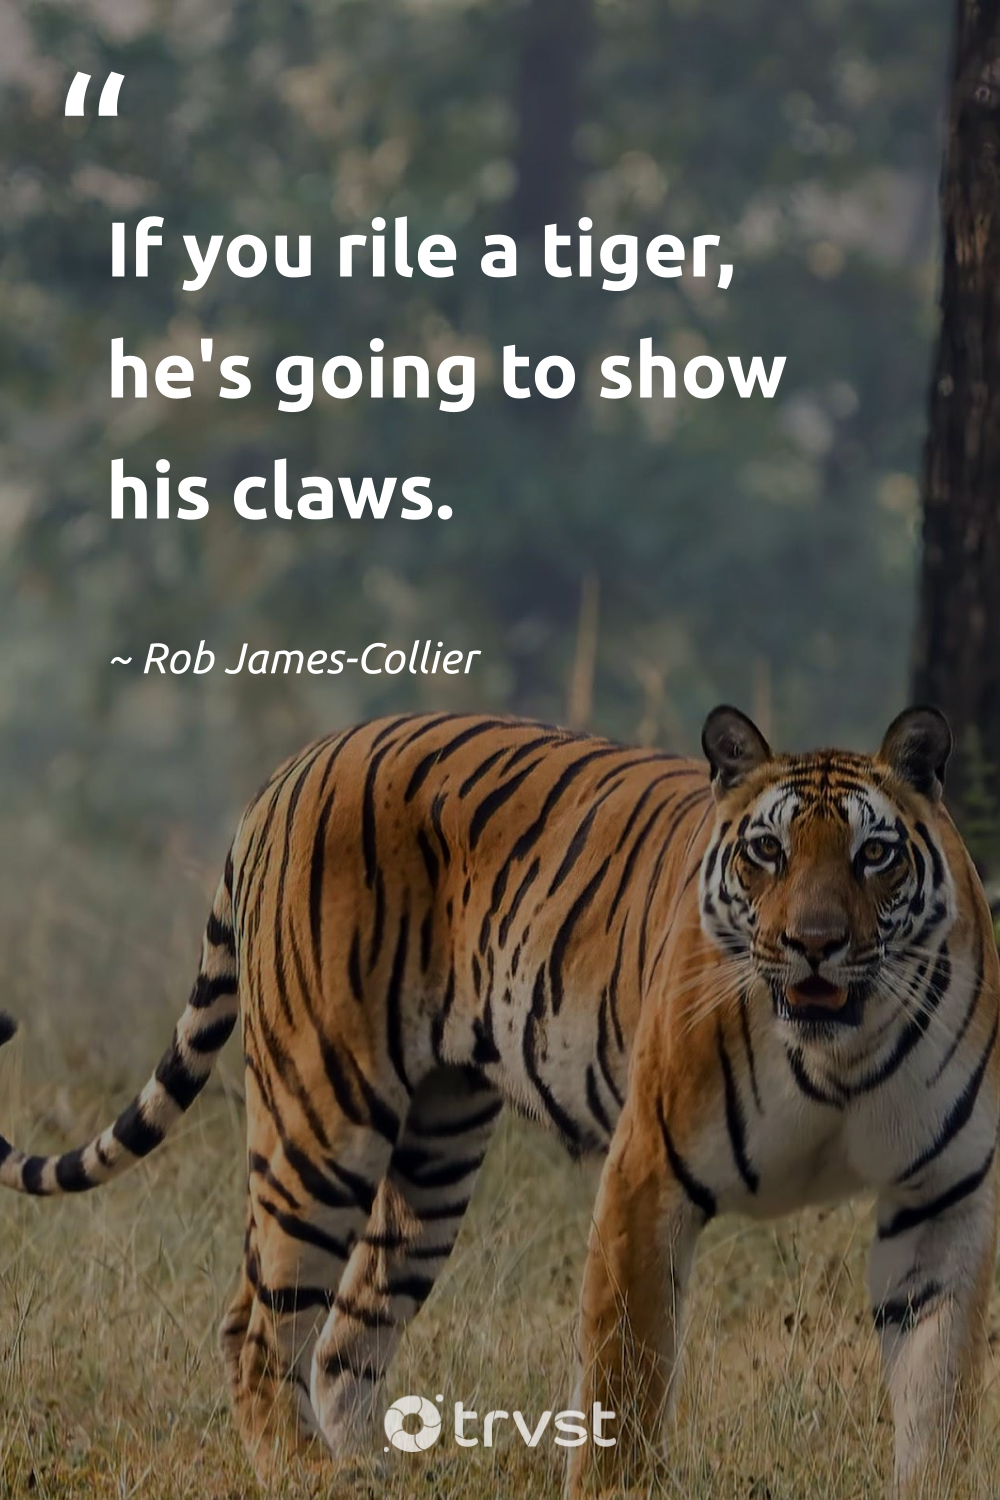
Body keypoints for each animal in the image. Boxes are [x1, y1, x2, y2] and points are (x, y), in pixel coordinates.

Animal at [0, 705, 996, 1495]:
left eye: (874, 855)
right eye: (767, 852)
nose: (814, 944)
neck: (841, 1053)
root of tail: (296, 762)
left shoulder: (942, 1197)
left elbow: (937, 1387)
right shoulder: (648, 1176)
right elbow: (626, 1380)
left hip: (433, 1156)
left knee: (347, 1331)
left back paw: (375, 1471)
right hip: (322, 1116)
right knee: (256, 1324)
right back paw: (308, 1475)